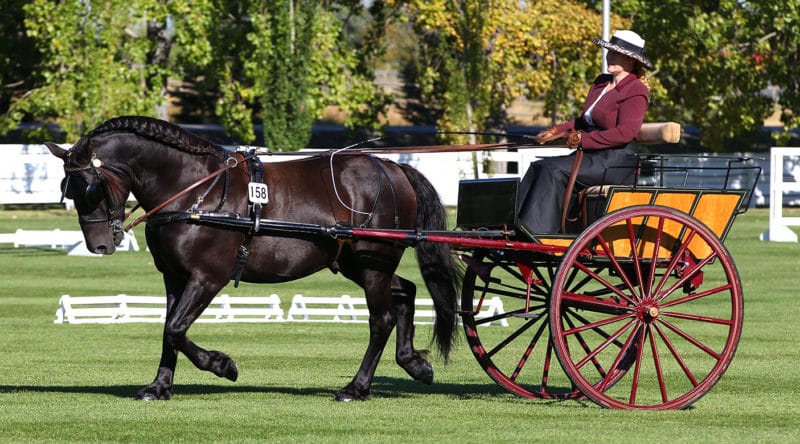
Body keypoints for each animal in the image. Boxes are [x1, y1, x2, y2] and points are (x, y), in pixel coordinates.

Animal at [45, 116, 461, 402]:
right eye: (68, 188)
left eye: (91, 187)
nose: (99, 245)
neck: (192, 190)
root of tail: (394, 168)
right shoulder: (174, 277)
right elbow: (168, 330)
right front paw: (159, 386)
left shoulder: (207, 277)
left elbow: (177, 329)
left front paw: (222, 364)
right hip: (359, 265)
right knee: (405, 292)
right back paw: (414, 363)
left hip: (372, 264)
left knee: (381, 319)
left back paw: (356, 388)